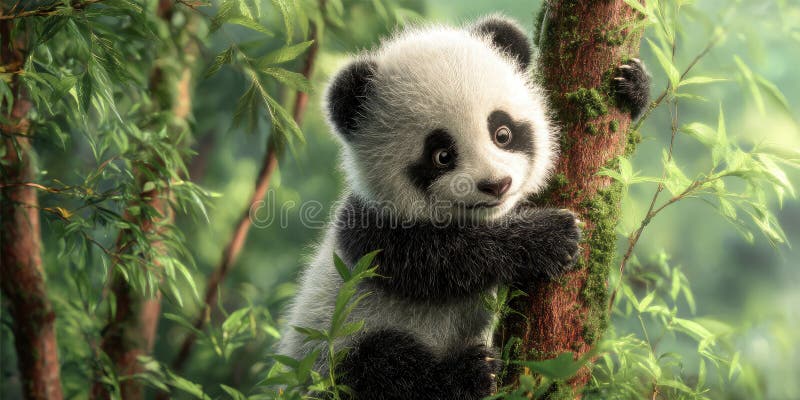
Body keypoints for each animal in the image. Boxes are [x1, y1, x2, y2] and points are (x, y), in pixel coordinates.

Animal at [278, 15, 650, 400]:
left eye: (503, 133)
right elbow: (438, 258)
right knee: (380, 367)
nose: (497, 185)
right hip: (329, 354)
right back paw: (469, 374)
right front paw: (549, 238)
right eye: (441, 156)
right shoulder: (367, 232)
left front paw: (633, 87)